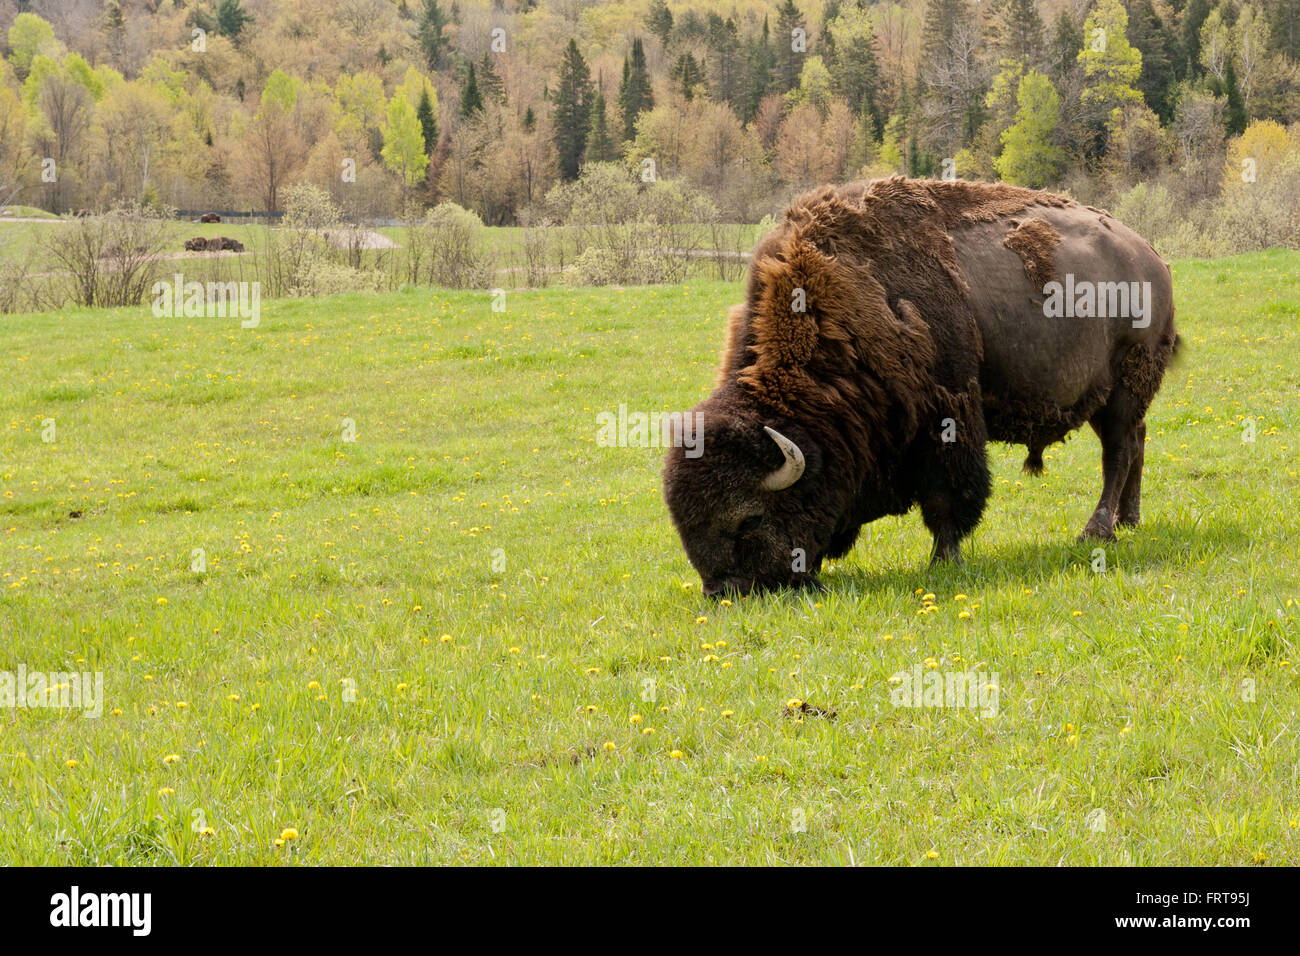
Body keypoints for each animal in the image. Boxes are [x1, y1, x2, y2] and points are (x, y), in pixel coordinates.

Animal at [662, 177, 1179, 596]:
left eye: (749, 518)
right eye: (684, 525)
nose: (723, 591)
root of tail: (1152, 258)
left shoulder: (947, 420)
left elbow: (948, 498)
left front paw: (942, 561)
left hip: (1124, 389)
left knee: (1118, 453)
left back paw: (1097, 531)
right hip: (1110, 400)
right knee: (1135, 443)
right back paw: (1128, 520)